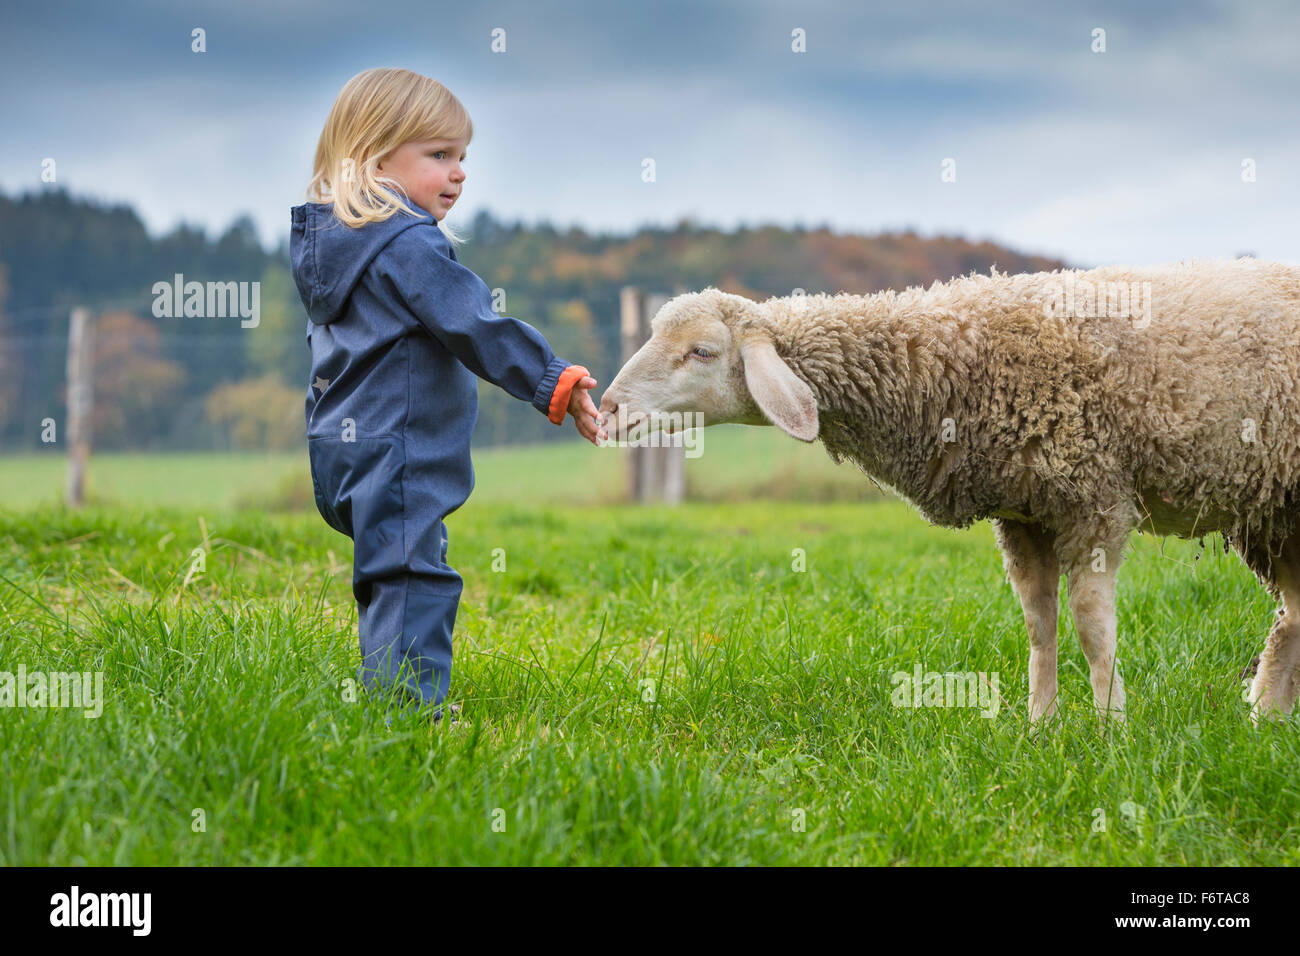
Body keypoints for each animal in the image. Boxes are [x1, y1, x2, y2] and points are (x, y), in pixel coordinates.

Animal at [597, 259, 1300, 726]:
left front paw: (1110, 729)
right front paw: (1040, 728)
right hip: (1274, 509)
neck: (943, 360)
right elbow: (1040, 622)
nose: (607, 409)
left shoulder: (1094, 495)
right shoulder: (1024, 511)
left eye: (702, 351)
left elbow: (1091, 624)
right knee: (1293, 612)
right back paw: (1265, 719)